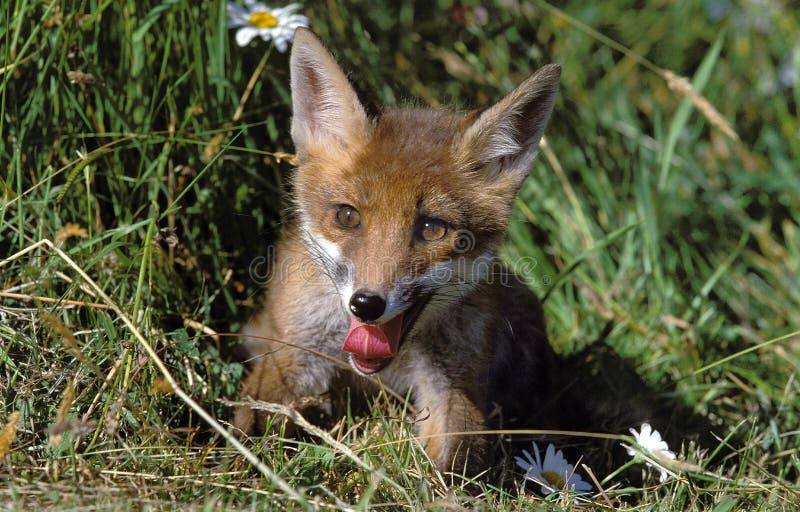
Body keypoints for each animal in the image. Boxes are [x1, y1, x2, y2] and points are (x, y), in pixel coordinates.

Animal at [233, 27, 565, 475]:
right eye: (347, 216)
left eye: (431, 228)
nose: (366, 305)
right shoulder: (292, 355)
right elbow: (249, 423)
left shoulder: (453, 384)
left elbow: (453, 465)